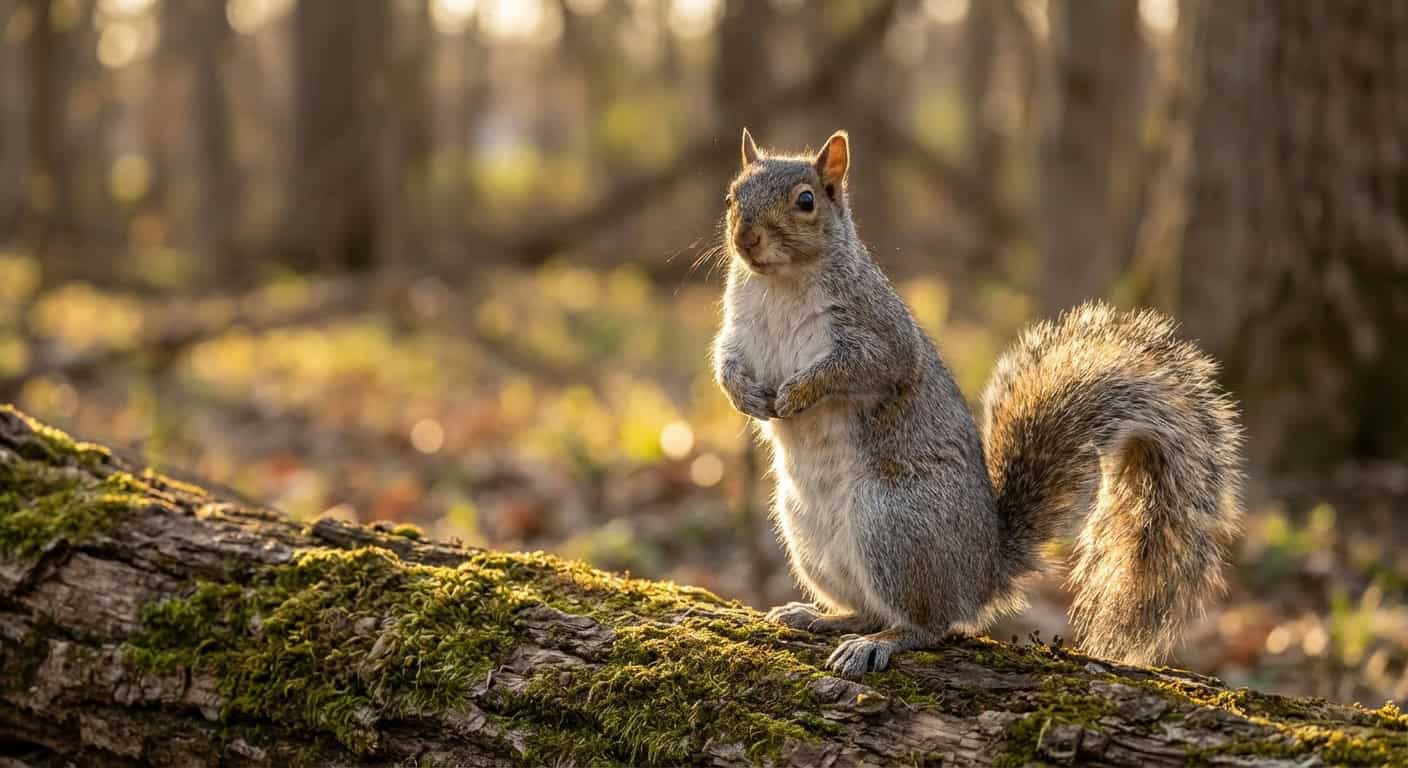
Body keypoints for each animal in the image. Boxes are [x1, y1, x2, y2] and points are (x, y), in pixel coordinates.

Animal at [711, 128, 1243, 678]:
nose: (745, 239)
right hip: (808, 536)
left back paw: (879, 643)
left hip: (893, 523)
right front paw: (744, 394)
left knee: (927, 623)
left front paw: (798, 392)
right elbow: (725, 360)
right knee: (868, 608)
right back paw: (821, 617)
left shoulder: (879, 335)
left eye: (806, 201)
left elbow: (859, 368)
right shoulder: (739, 328)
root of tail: (982, 571)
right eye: (732, 195)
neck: (780, 284)